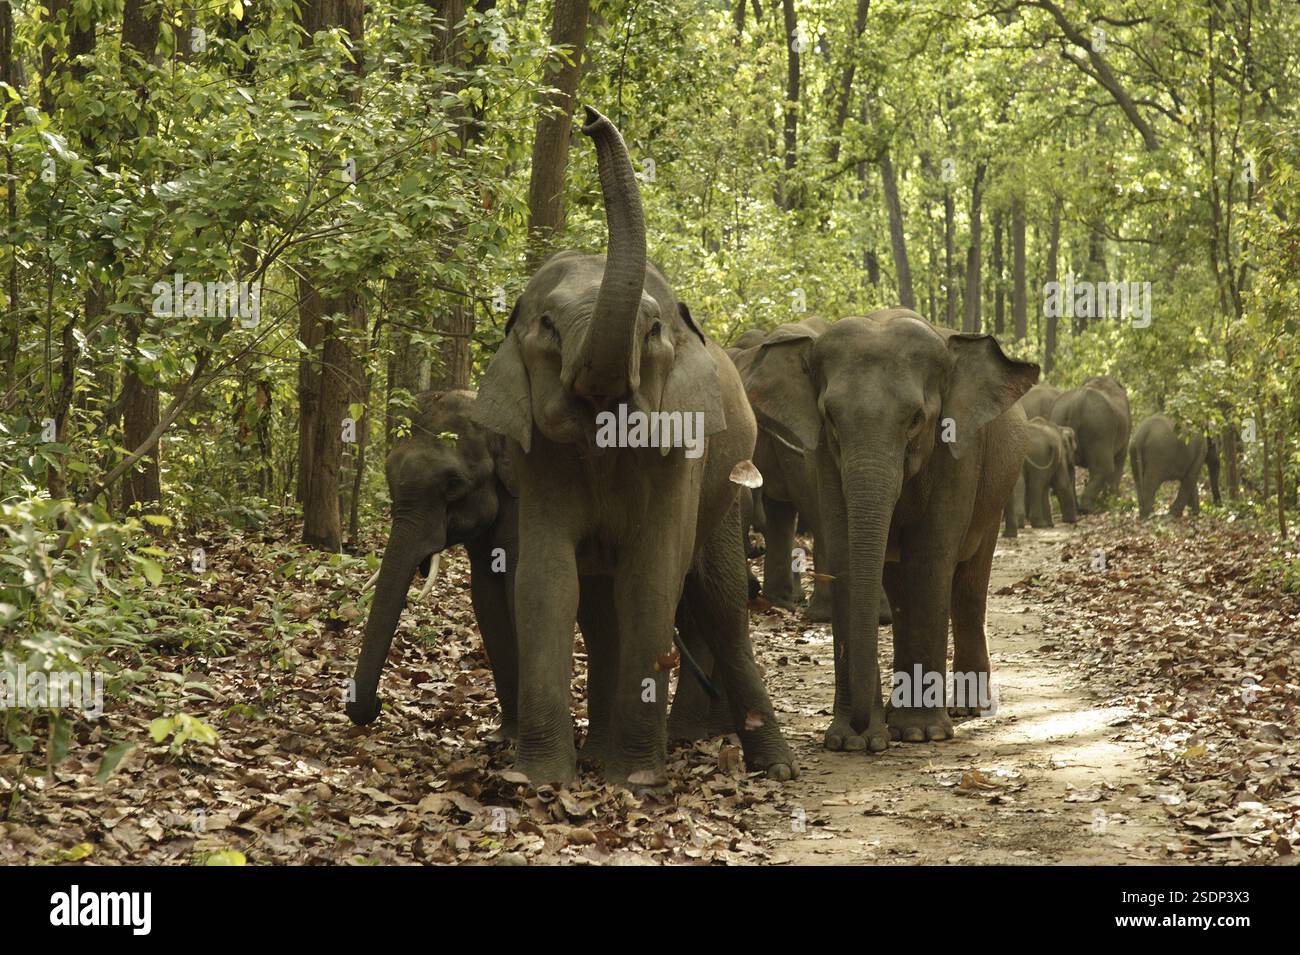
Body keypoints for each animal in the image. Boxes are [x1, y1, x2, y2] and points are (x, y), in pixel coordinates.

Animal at [468, 107, 794, 787]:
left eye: (653, 329)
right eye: (546, 325)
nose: (591, 117)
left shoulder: (680, 455)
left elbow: (652, 576)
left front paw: (635, 779)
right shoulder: (538, 459)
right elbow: (547, 581)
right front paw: (539, 780)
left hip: (727, 495)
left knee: (723, 604)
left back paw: (776, 767)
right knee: (599, 608)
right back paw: (597, 751)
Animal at [747, 308, 1038, 752]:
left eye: (916, 419)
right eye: (830, 417)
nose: (862, 727)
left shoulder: (959, 454)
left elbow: (930, 560)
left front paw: (921, 733)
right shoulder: (825, 460)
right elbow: (848, 553)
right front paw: (851, 741)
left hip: (997, 491)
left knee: (969, 585)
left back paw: (966, 709)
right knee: (901, 586)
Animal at [1049, 375, 1131, 513]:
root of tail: (1076, 404)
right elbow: (1119, 460)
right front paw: (1115, 501)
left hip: (1059, 419)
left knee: (1068, 471)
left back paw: (1078, 508)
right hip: (1099, 428)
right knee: (1105, 468)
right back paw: (1090, 508)